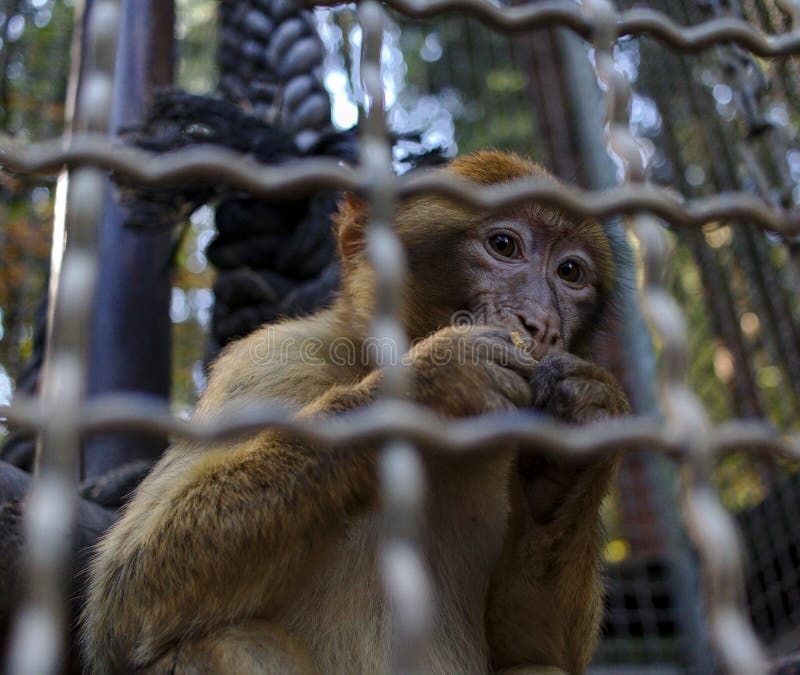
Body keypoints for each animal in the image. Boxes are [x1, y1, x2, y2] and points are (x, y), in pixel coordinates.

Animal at [80, 151, 630, 674]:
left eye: (570, 272)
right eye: (504, 245)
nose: (541, 324)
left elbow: (529, 648)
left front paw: (581, 432)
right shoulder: (270, 360)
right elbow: (125, 599)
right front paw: (437, 382)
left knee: (538, 668)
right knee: (234, 641)